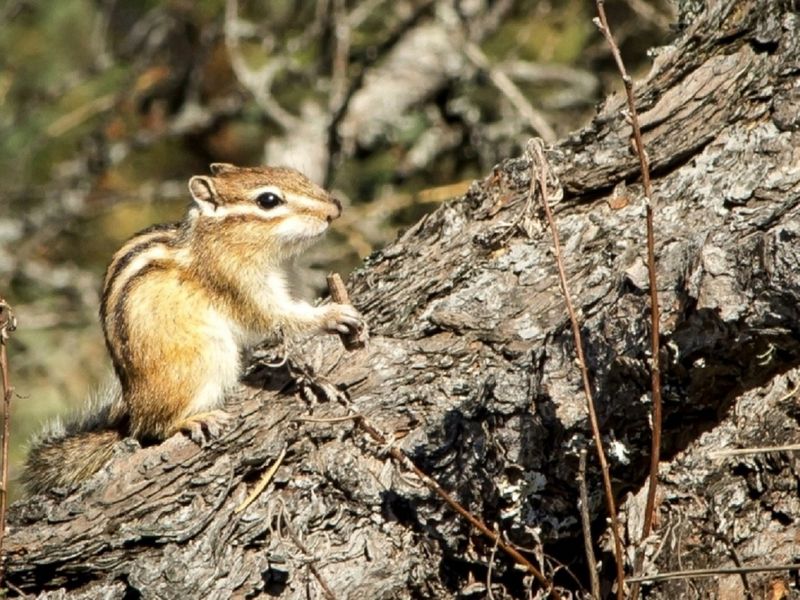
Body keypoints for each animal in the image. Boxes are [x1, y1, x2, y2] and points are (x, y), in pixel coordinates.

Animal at [22, 163, 364, 495]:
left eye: (294, 173)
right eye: (268, 200)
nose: (335, 208)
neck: (219, 238)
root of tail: (133, 412)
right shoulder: (236, 283)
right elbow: (278, 317)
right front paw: (333, 315)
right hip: (206, 356)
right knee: (156, 428)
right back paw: (195, 419)